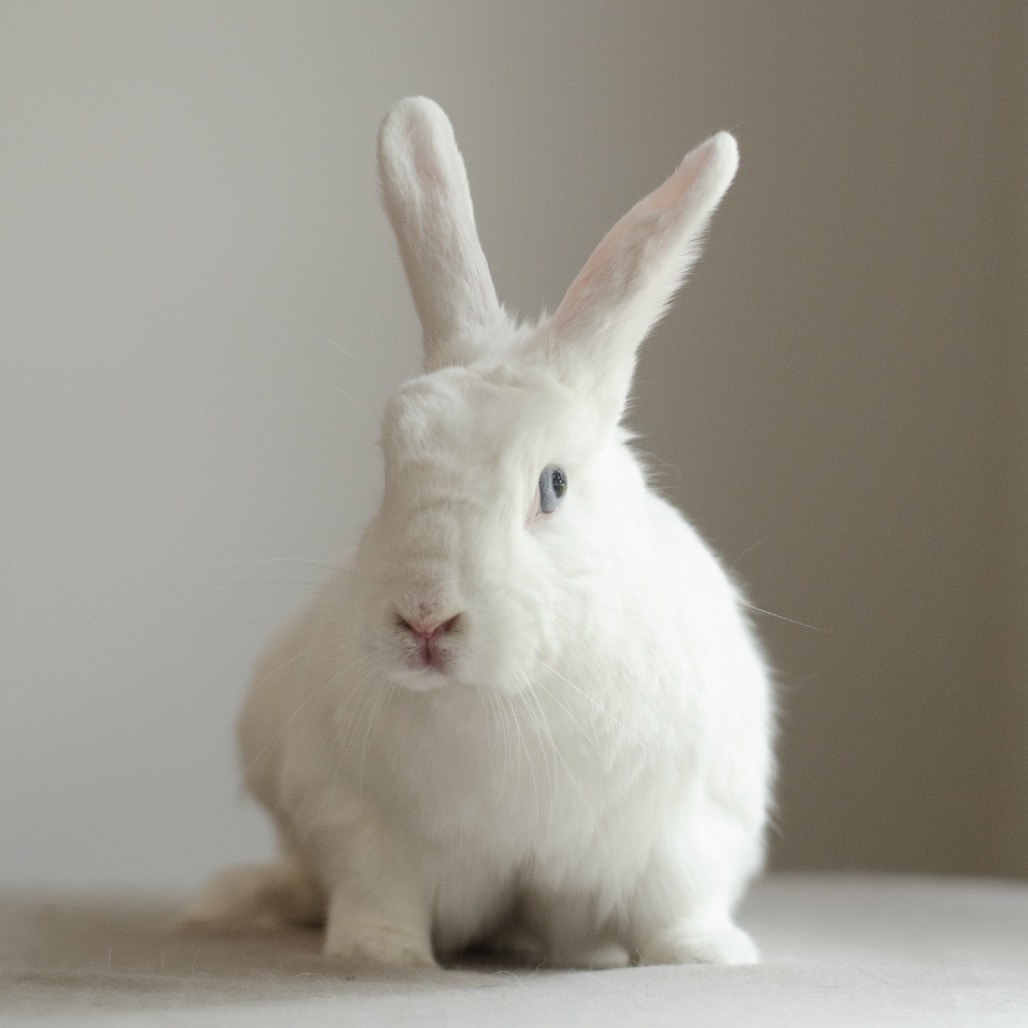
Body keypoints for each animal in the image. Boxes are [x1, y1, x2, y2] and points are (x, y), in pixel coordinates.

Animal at [184, 96, 774, 970]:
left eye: (552, 486)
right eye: (389, 467)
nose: (425, 617)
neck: (506, 699)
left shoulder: (683, 829)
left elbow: (675, 901)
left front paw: (704, 956)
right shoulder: (359, 825)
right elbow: (377, 894)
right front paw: (377, 956)